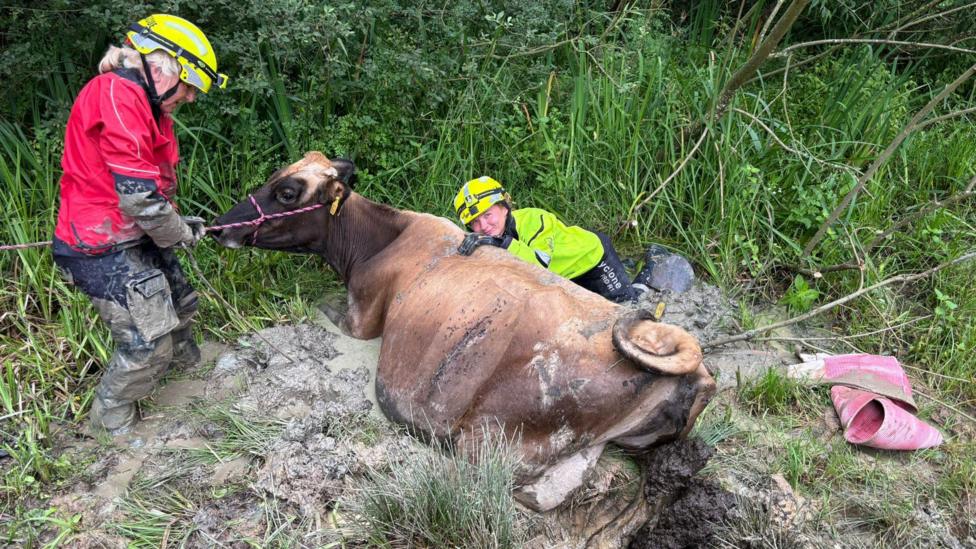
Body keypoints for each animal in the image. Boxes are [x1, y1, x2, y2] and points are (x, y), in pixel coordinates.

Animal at [212, 152, 716, 511]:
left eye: (287, 191)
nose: (219, 226)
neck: (380, 241)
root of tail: (693, 372)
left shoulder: (361, 316)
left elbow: (325, 309)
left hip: (489, 438)